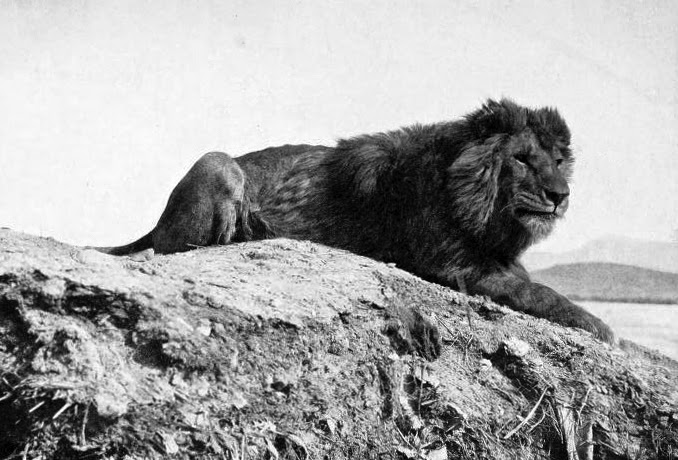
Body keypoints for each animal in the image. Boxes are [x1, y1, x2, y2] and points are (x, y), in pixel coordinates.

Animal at [95, 99, 614, 343]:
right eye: (523, 159)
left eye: (560, 160)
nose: (560, 196)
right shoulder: (454, 266)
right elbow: (540, 293)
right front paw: (603, 328)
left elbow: (536, 285)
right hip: (217, 162)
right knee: (178, 244)